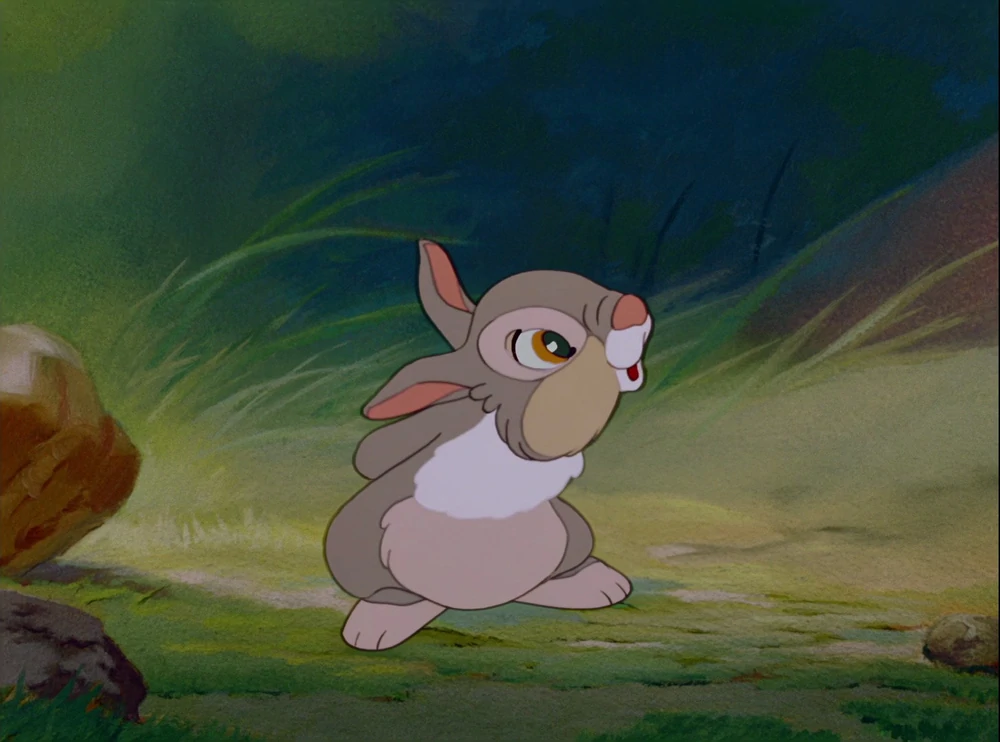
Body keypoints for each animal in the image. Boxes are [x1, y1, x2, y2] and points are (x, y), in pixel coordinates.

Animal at [325, 240, 653, 651]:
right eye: (551, 344)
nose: (633, 307)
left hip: (570, 529)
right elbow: (372, 453)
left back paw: (592, 583)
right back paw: (379, 624)